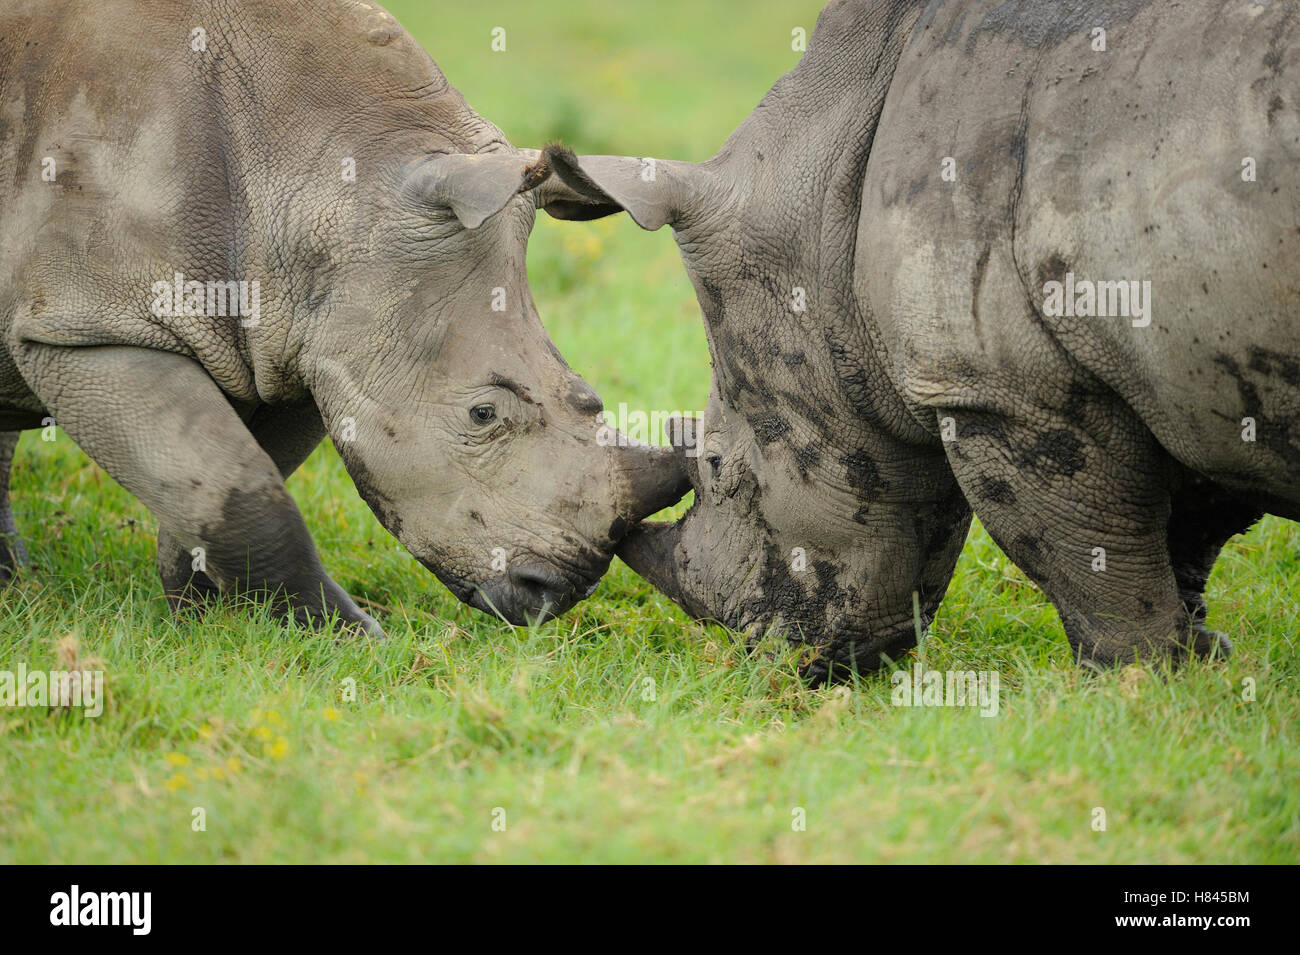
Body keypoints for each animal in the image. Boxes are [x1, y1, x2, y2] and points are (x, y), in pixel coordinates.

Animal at [0, 0, 687, 635]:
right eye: (482, 415)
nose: (556, 593)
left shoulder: (296, 343)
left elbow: (231, 474)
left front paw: (203, 615)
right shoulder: (86, 330)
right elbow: (244, 490)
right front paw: (351, 639)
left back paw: (14, 581)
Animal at [541, 0, 1300, 681]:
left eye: (719, 466)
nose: (775, 658)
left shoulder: (1009, 391)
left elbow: (1094, 554)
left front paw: (1134, 682)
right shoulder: (1189, 379)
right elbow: (1187, 526)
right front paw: (1199, 665)